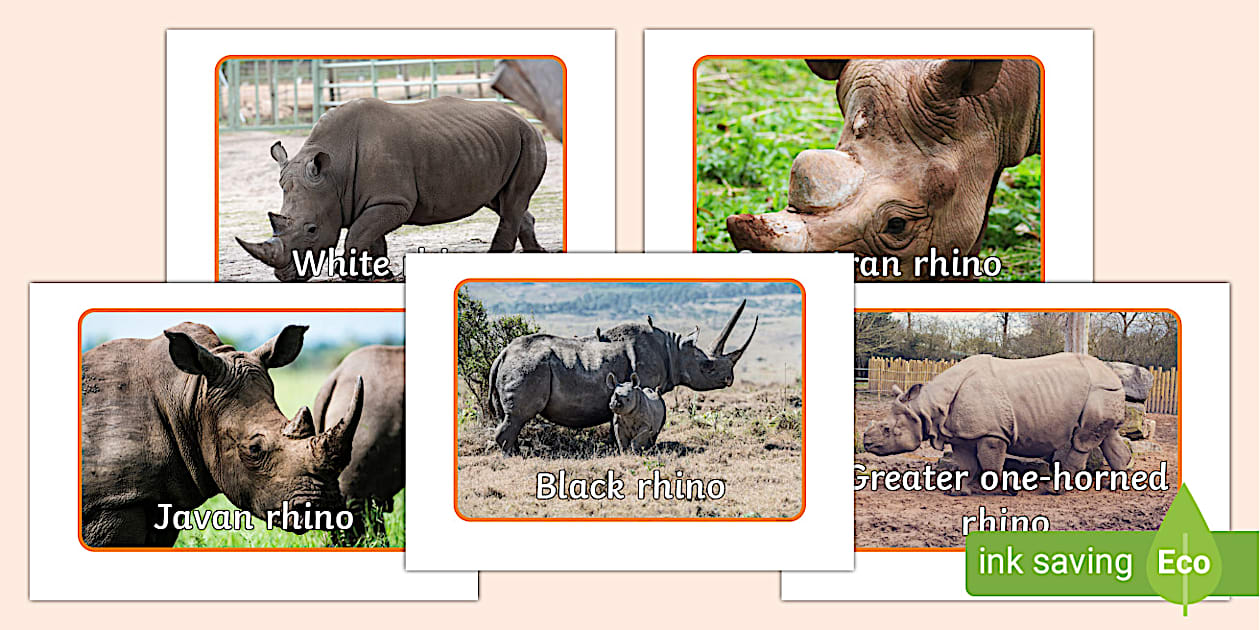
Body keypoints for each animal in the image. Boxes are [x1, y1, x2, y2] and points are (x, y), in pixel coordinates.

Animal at [237, 96, 548, 282]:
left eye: (311, 229)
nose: (284, 276)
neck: (334, 172)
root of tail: (525, 118)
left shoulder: (393, 201)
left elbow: (358, 234)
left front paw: (351, 276)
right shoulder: (372, 201)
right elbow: (372, 236)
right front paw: (381, 275)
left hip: (528, 138)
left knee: (511, 202)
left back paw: (496, 258)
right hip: (497, 142)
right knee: (502, 201)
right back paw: (537, 253)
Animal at [488, 300, 758, 454]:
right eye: (707, 366)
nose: (729, 379)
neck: (675, 351)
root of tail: (503, 354)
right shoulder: (644, 384)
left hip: (521, 365)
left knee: (510, 418)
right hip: (528, 366)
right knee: (517, 417)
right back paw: (513, 456)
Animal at [862, 353, 1137, 495]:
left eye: (887, 430)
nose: (865, 442)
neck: (926, 407)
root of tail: (1115, 376)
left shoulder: (992, 433)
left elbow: (990, 463)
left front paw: (1003, 490)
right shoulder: (962, 434)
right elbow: (966, 464)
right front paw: (958, 492)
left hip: (1099, 391)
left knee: (1081, 441)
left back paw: (1053, 491)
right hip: (1104, 392)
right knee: (1108, 436)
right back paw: (1118, 485)